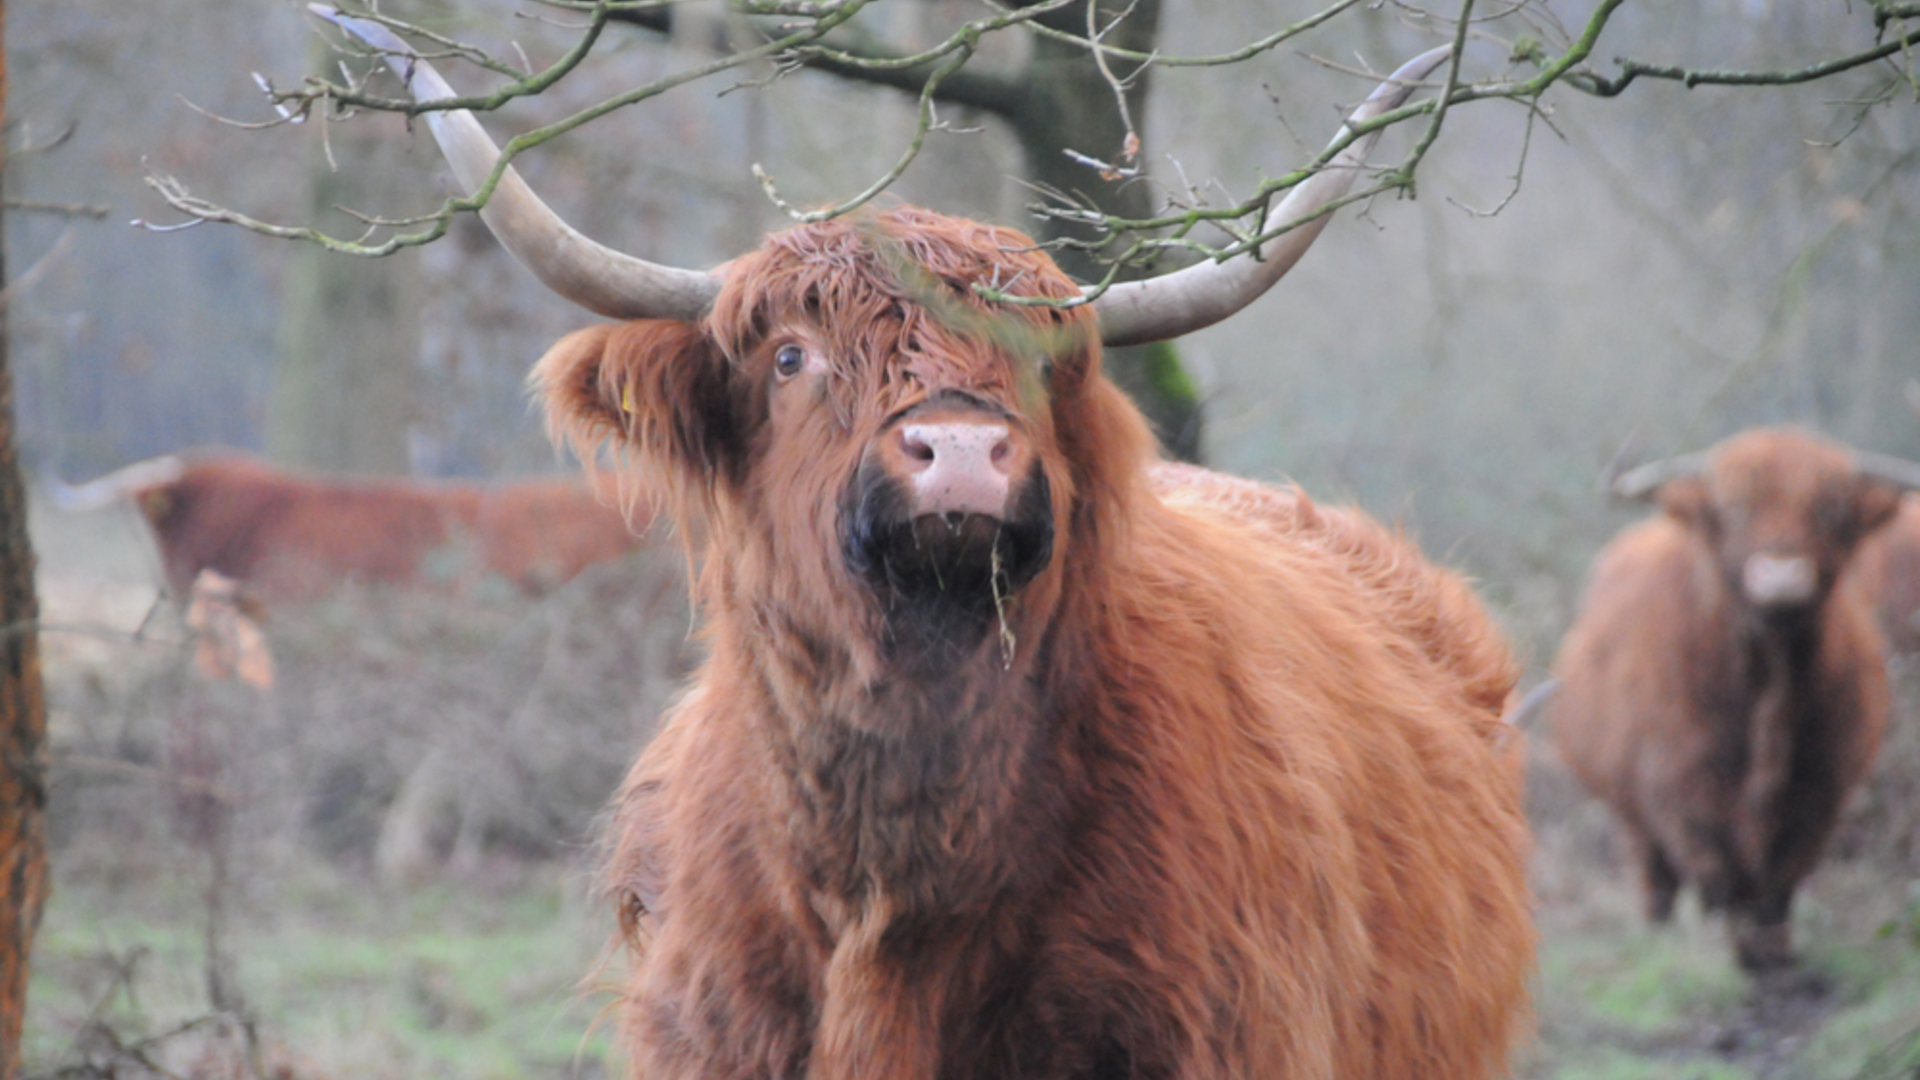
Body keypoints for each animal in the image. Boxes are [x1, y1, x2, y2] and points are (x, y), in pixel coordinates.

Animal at [1551, 428, 1919, 970]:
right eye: (1735, 507)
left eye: (1828, 509)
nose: (1781, 576)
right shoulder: (1681, 787)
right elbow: (1717, 876)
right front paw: (1735, 951)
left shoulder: (1822, 789)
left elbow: (1784, 875)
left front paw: (1774, 949)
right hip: (1629, 810)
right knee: (1657, 876)